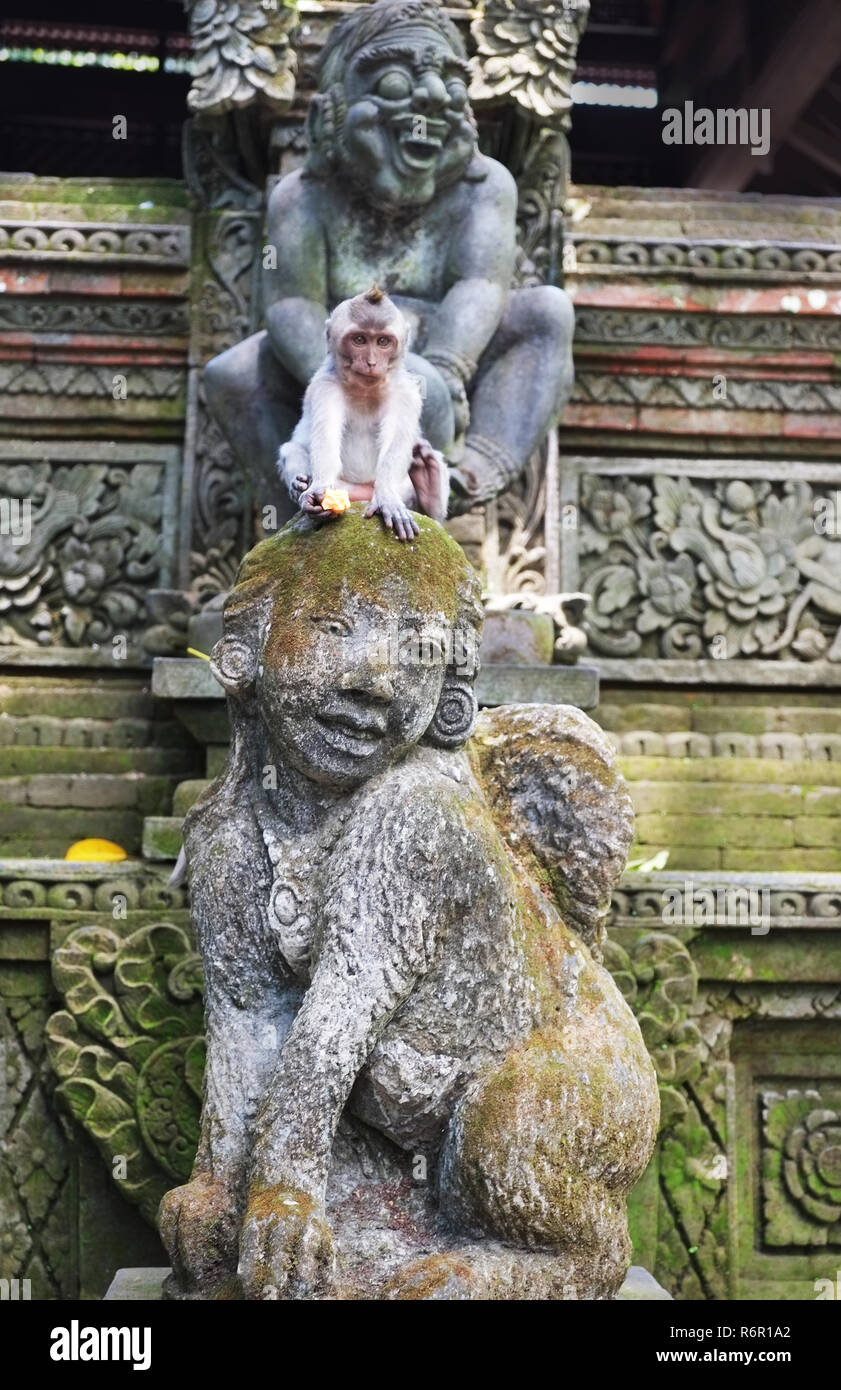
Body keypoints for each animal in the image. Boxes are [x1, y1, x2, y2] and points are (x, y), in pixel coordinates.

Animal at [278, 285, 449, 541]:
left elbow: (397, 442)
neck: (365, 391)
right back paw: (301, 484)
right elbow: (325, 440)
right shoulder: (325, 387)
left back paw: (428, 485)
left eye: (382, 341)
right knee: (292, 448)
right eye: (359, 340)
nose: (371, 362)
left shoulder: (405, 392)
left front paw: (387, 497)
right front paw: (317, 491)